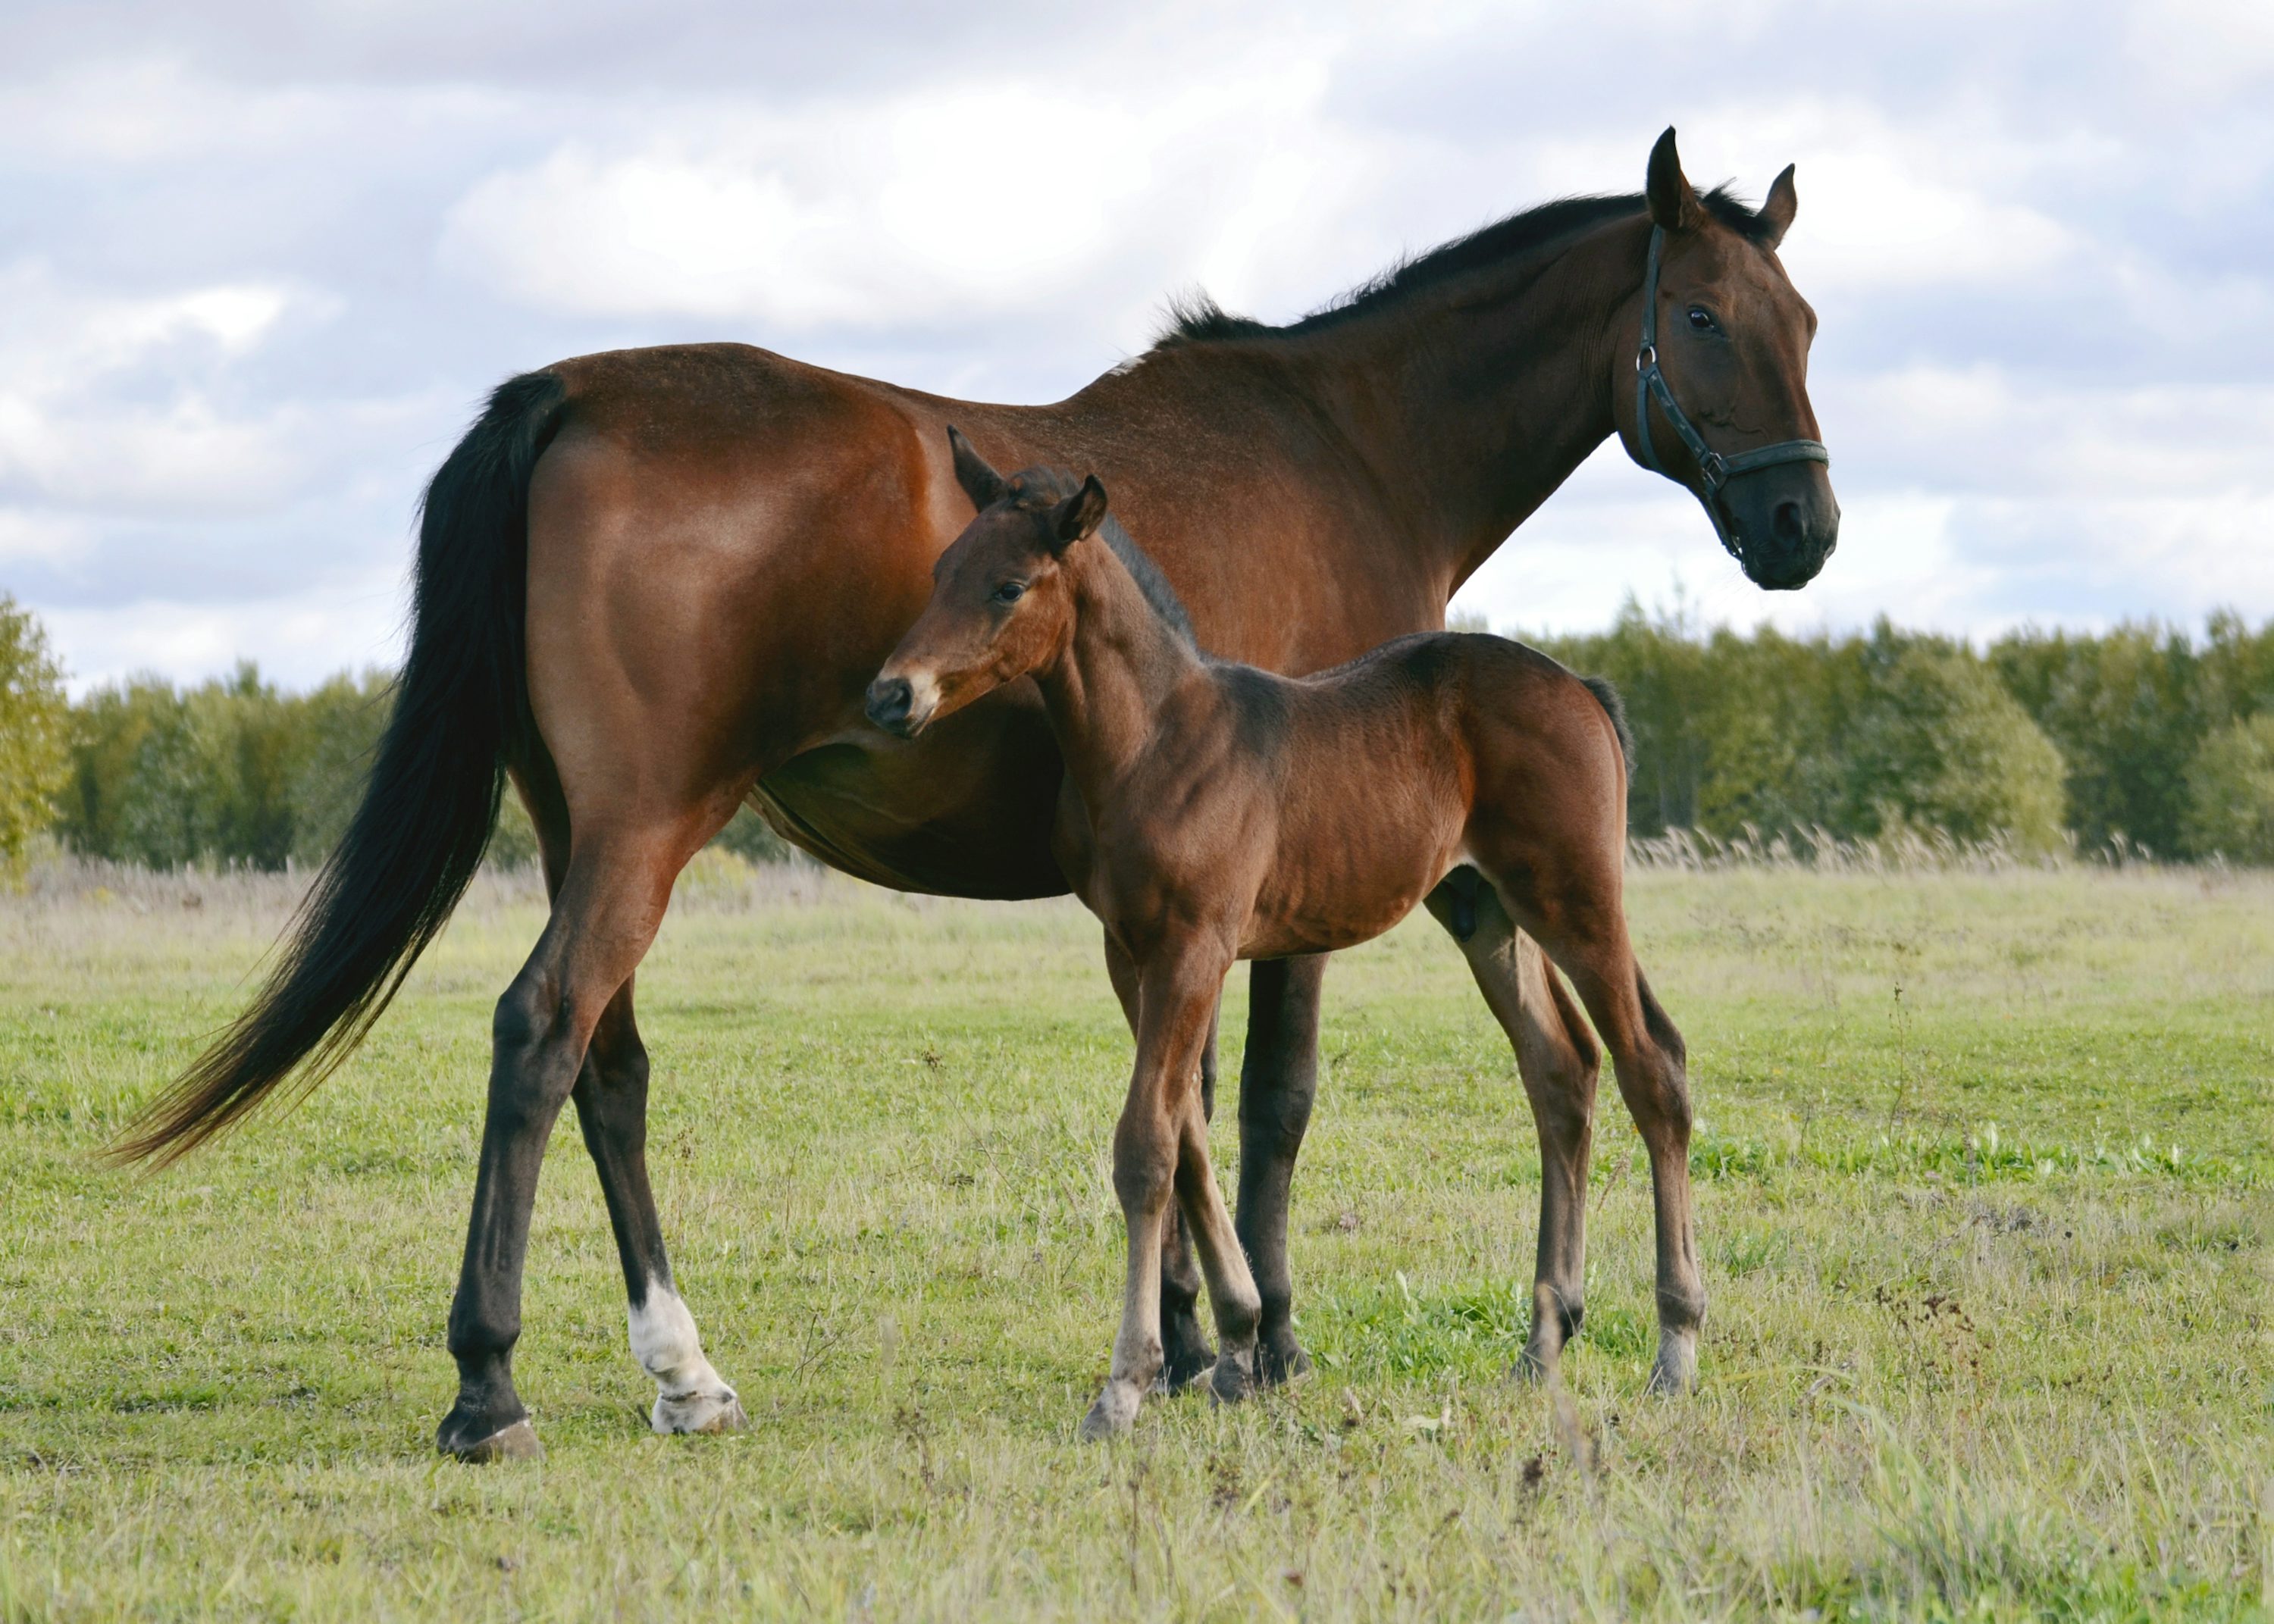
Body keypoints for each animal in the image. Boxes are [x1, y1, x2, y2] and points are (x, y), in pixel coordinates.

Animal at [871, 437, 1692, 1435]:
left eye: (1008, 586)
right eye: (942, 571)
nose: (889, 694)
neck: (1153, 741)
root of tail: (1582, 688)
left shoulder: (1196, 946)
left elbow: (1146, 1143)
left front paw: (1127, 1383)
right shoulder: (1130, 953)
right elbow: (1186, 1134)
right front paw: (1236, 1343)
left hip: (1576, 897)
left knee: (1653, 1065)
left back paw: (1674, 1347)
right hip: (1488, 910)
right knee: (1562, 1068)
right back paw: (1542, 1343)